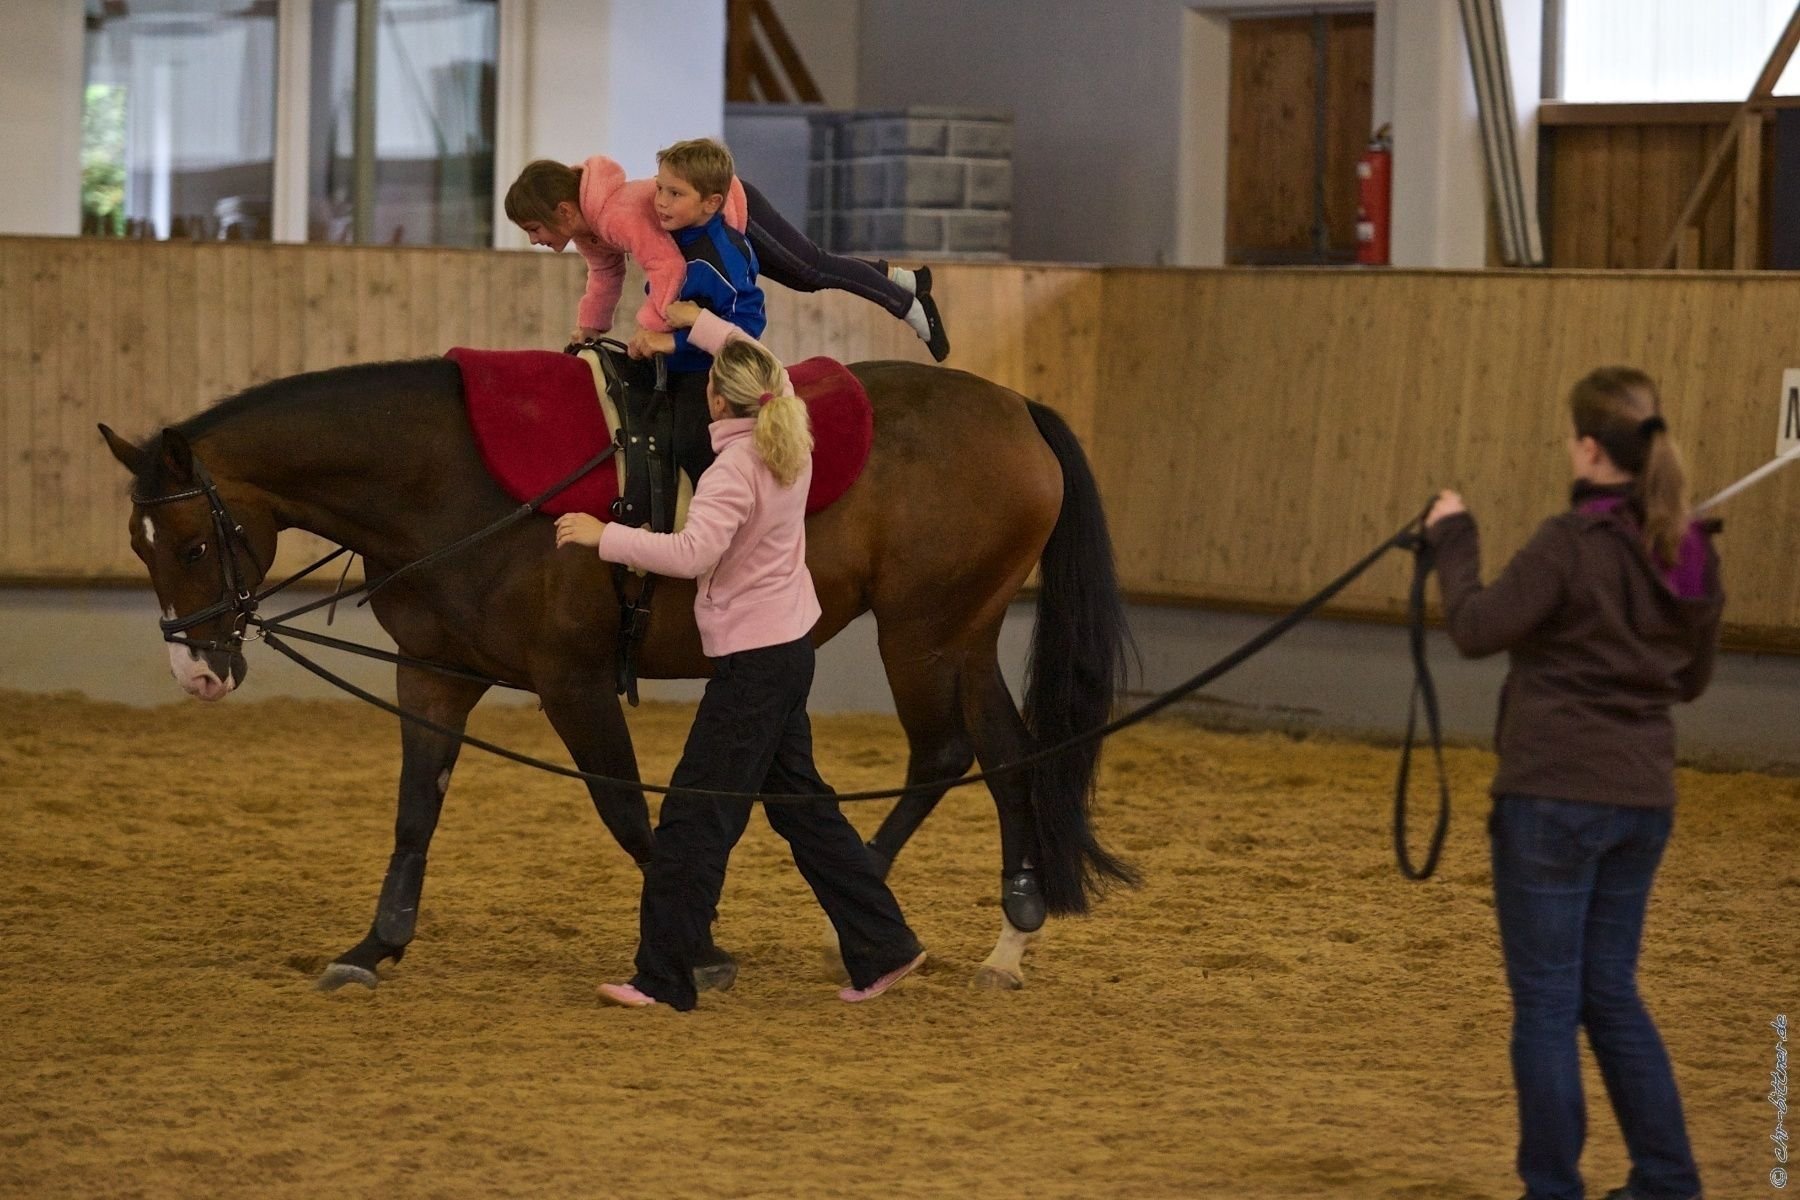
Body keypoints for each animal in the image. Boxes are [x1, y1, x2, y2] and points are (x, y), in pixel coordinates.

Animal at [98, 355, 1136, 993]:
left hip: (925, 631)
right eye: (139, 545)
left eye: (192, 544)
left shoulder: (575, 680)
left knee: (948, 752)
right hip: (964, 631)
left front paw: (701, 948)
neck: (451, 483)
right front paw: (373, 946)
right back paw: (1007, 935)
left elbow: (626, 811)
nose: (197, 671)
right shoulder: (432, 673)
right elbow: (415, 812)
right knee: (1003, 752)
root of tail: (1018, 408)